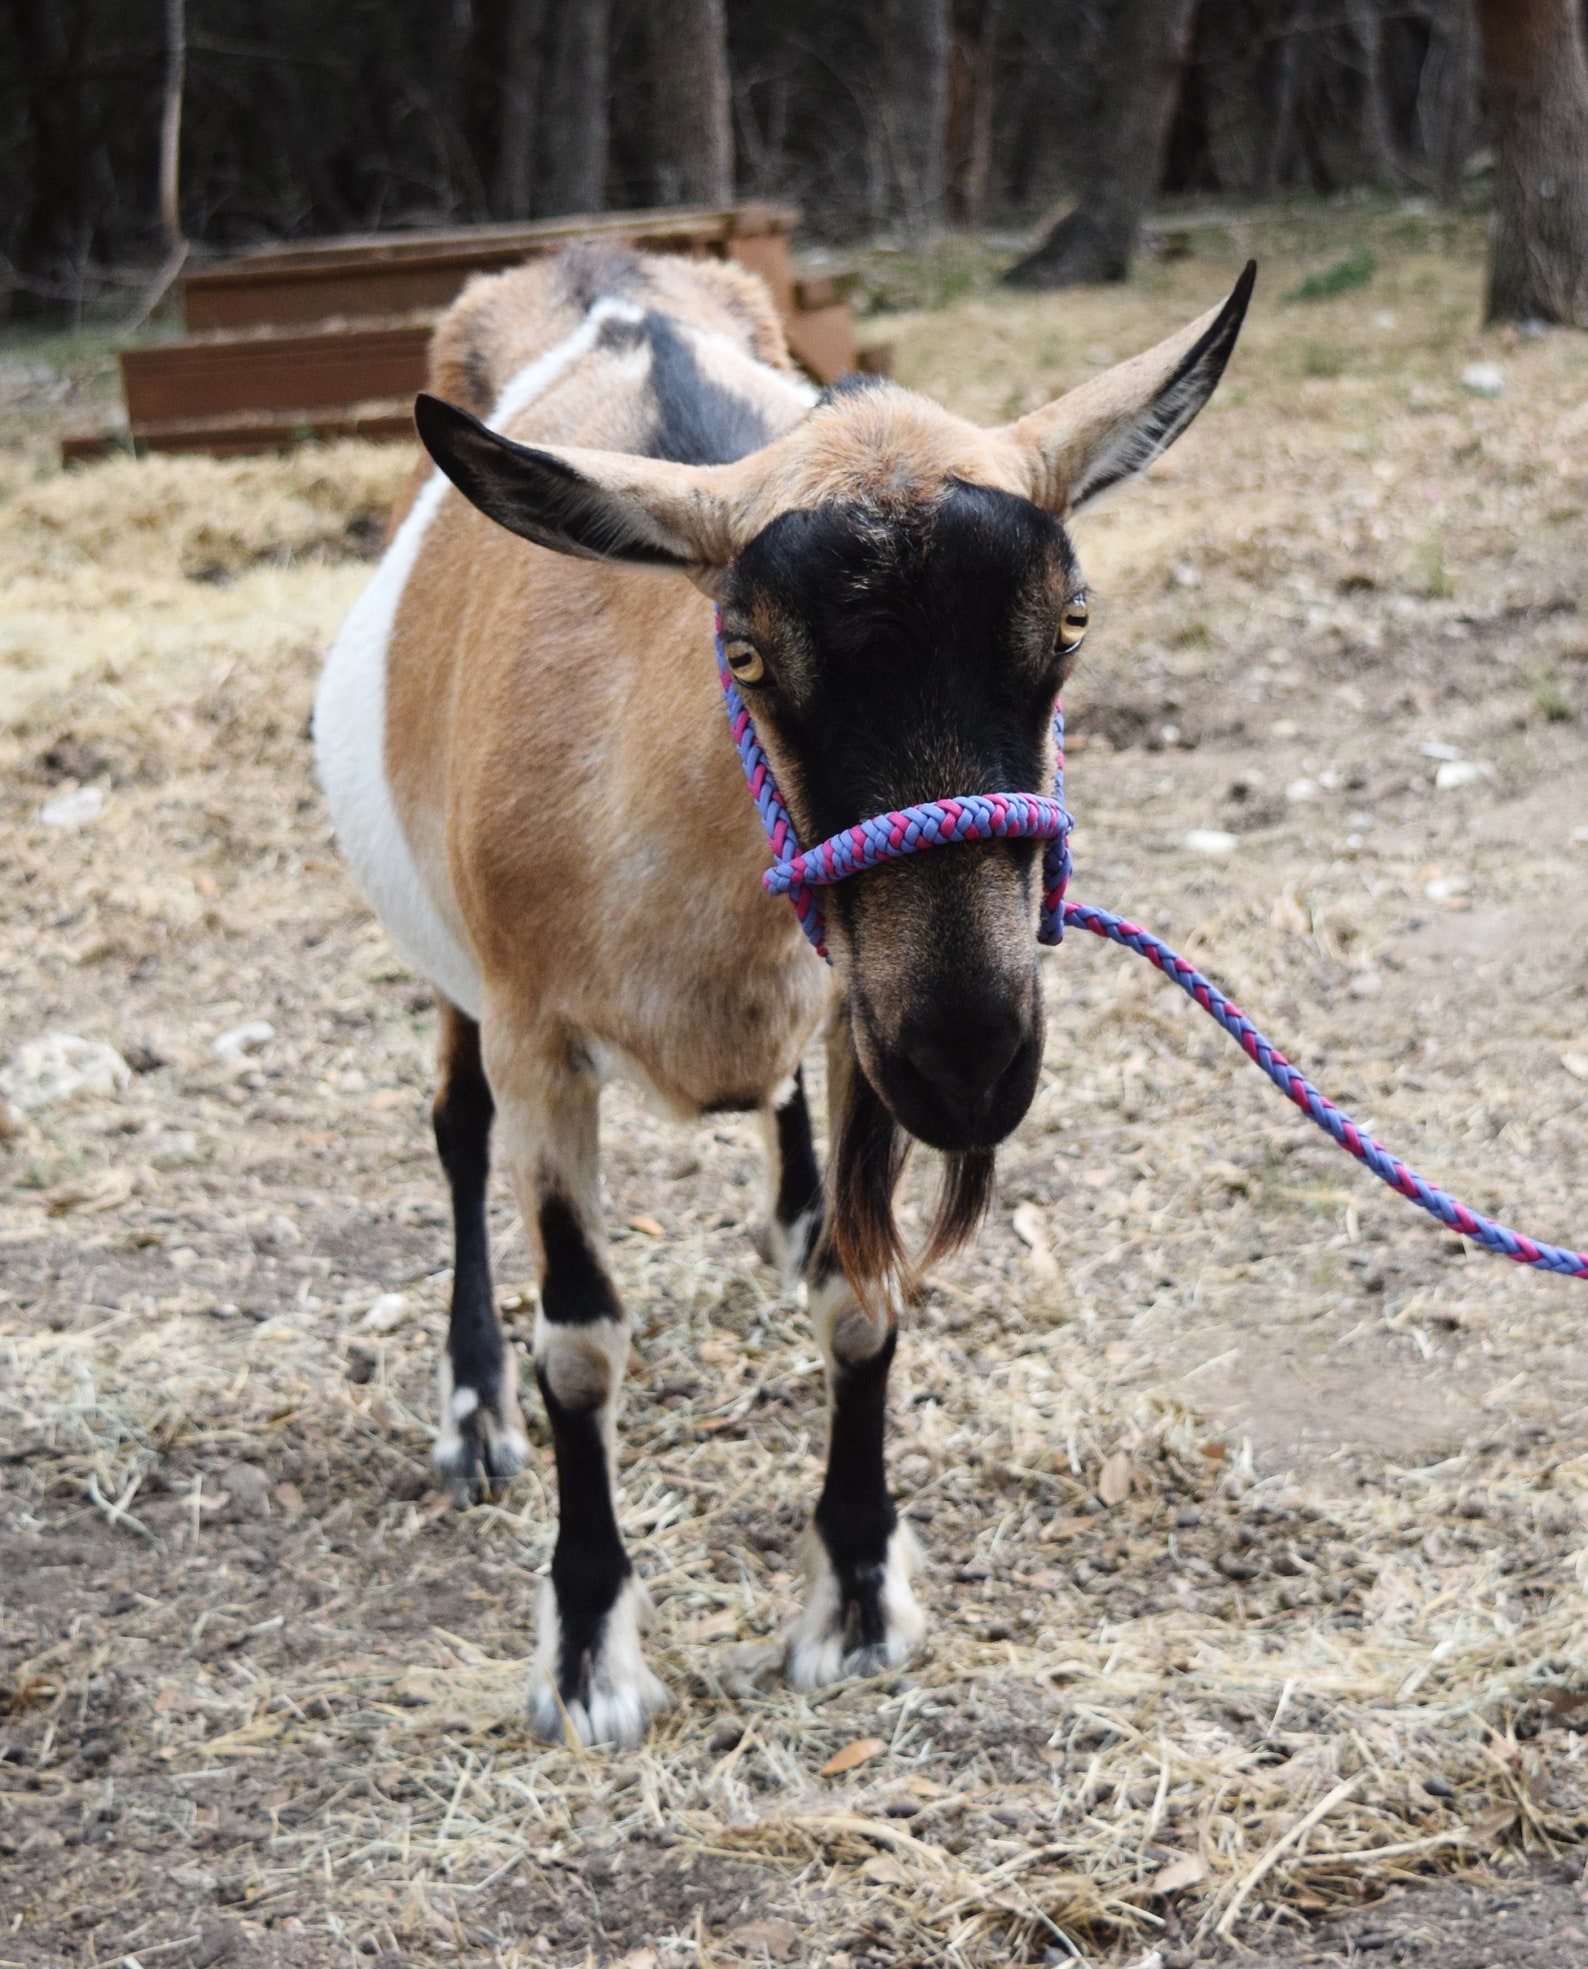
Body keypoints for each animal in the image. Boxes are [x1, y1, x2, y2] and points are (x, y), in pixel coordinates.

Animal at [315, 242, 1253, 1746]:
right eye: (746, 652)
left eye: (1071, 625)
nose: (971, 1061)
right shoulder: (541, 1040)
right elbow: (579, 1343)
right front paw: (587, 1654)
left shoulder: (861, 1014)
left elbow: (863, 1299)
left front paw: (856, 1605)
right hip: (450, 961)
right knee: (456, 1134)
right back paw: (471, 1417)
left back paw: (800, 1213)